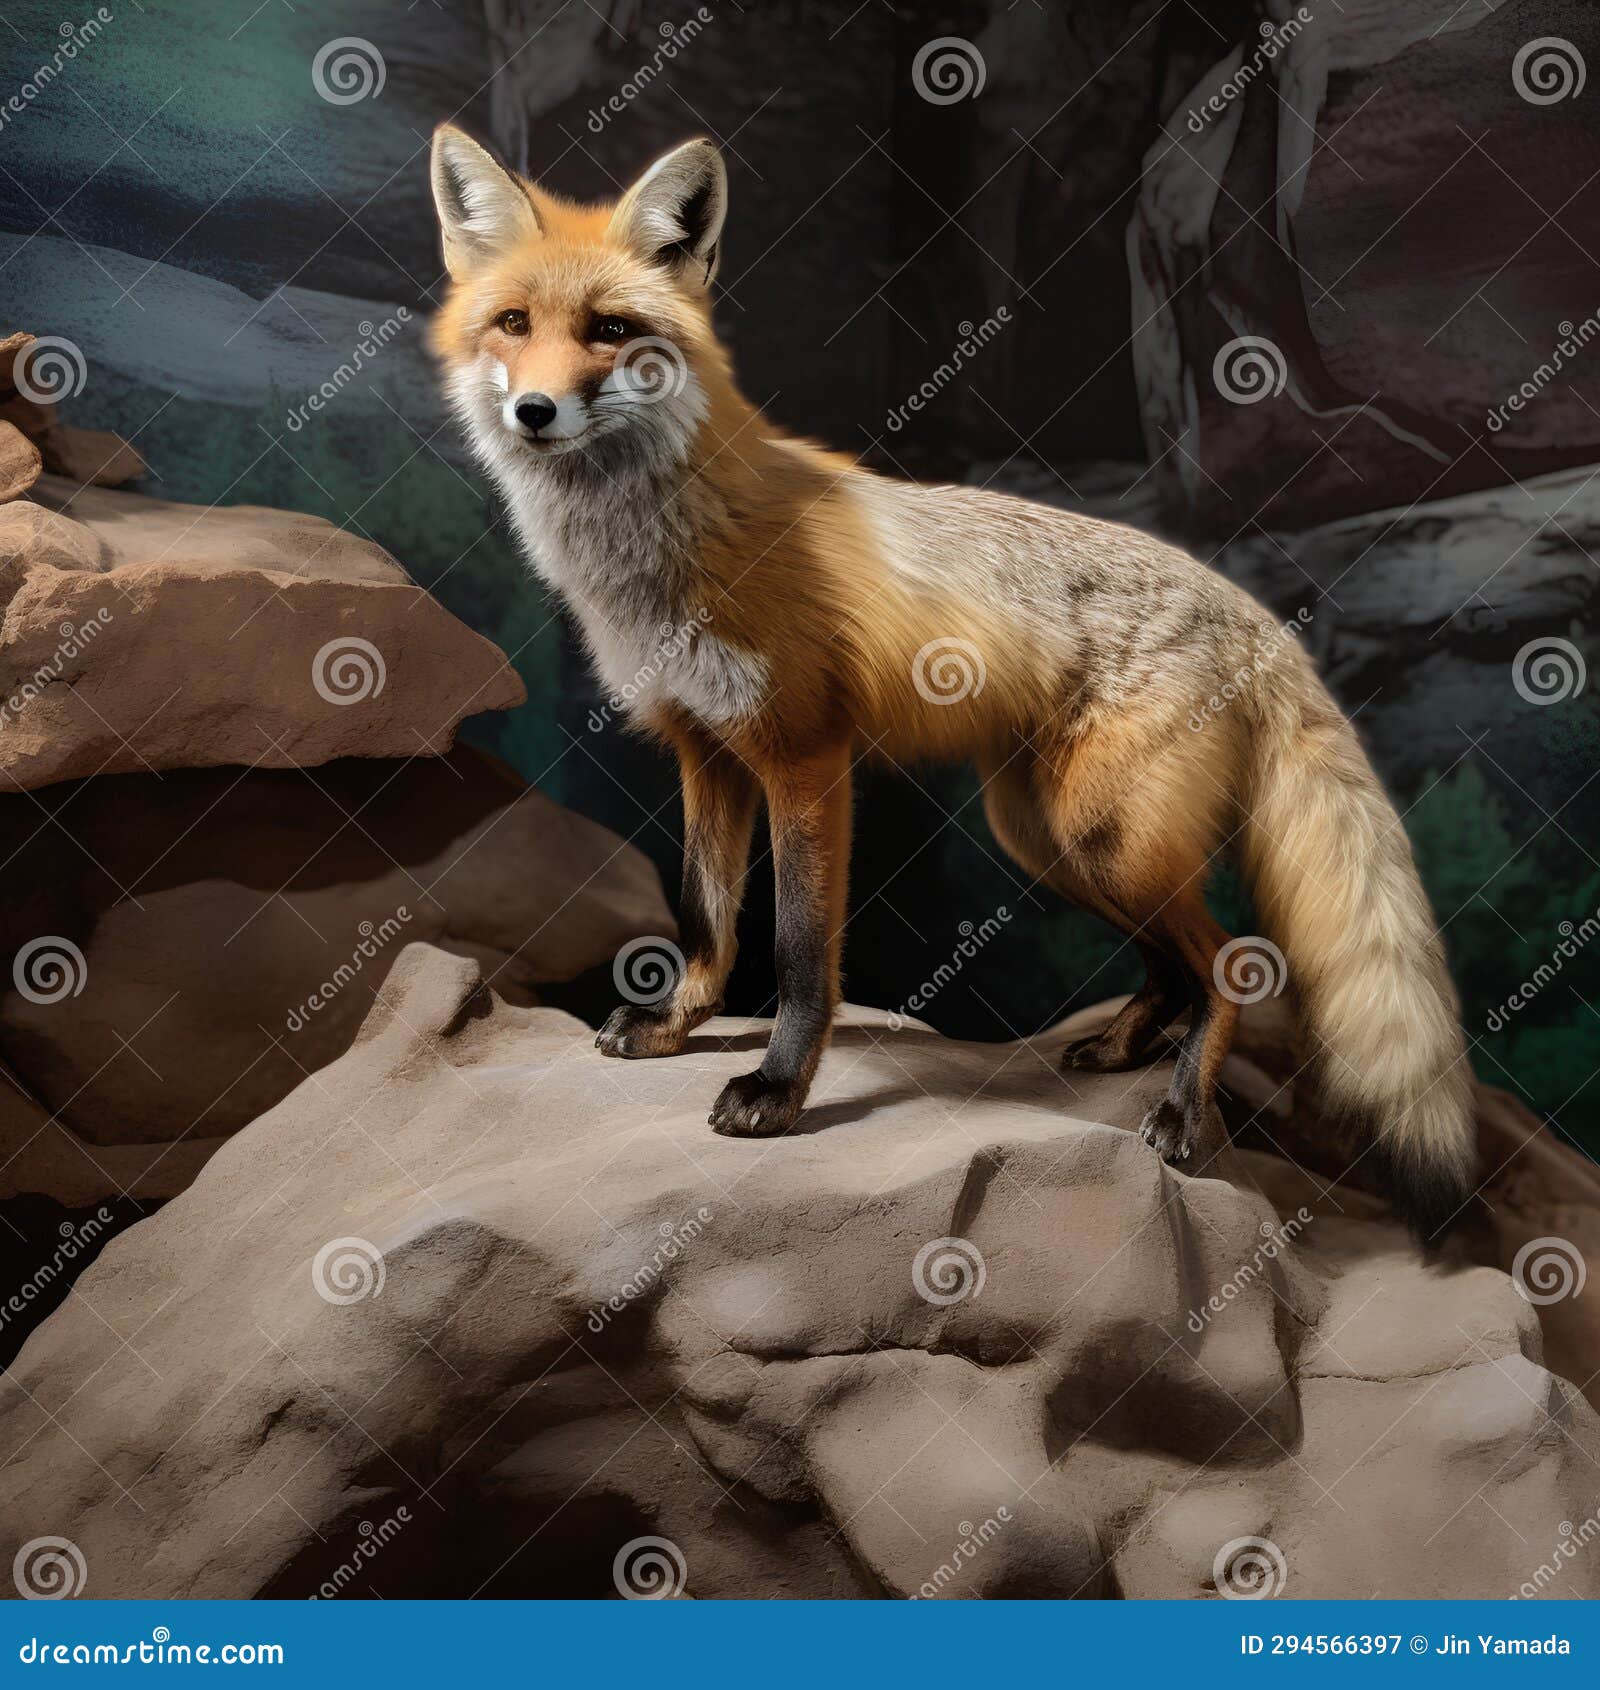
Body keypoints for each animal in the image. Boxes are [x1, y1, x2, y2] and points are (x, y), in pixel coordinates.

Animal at [428, 126, 1477, 1240]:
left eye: (610, 329)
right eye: (512, 323)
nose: (536, 410)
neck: (660, 552)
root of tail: (1255, 614)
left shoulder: (806, 758)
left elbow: (799, 953)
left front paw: (779, 1092)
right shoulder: (706, 751)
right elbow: (706, 917)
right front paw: (677, 1022)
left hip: (1102, 835)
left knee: (1233, 961)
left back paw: (1185, 1114)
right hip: (1049, 835)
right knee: (1172, 966)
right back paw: (1124, 1050)